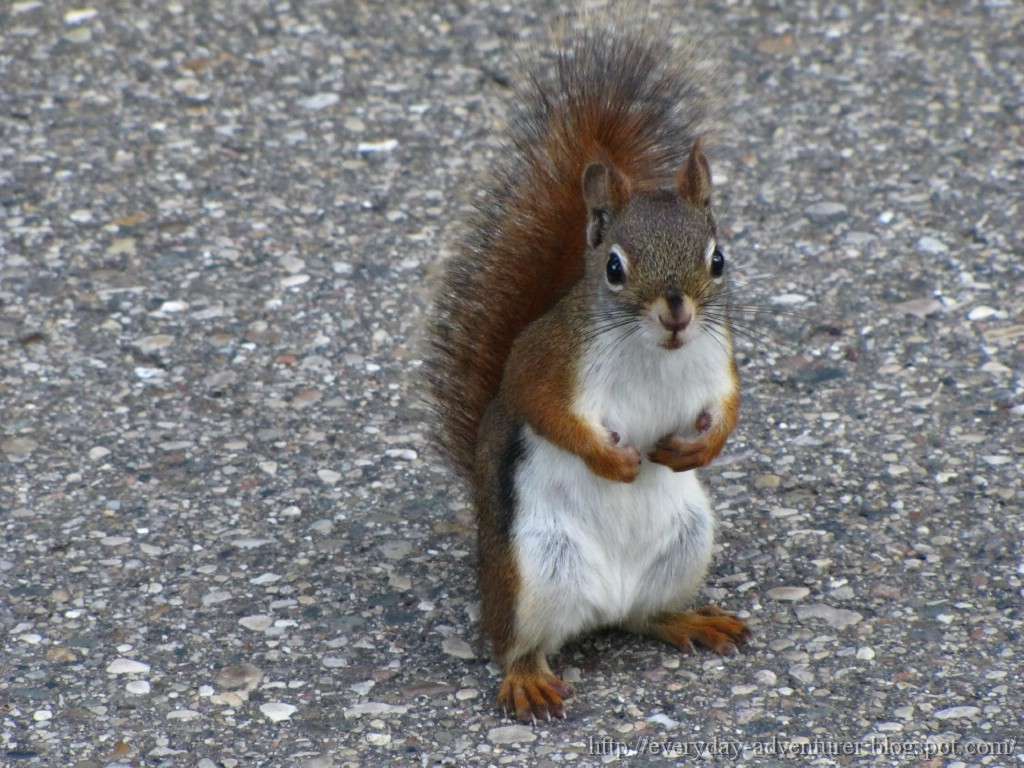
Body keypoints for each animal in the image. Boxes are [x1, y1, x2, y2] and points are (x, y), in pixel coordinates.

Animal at [426, 23, 749, 721]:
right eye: (615, 268)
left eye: (717, 258)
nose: (677, 312)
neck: (659, 353)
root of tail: (605, 603)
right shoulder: (547, 363)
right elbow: (544, 408)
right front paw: (613, 462)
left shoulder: (720, 362)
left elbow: (730, 408)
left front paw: (700, 448)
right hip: (534, 570)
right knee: (517, 645)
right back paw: (527, 679)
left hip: (687, 544)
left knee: (644, 617)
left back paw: (688, 621)